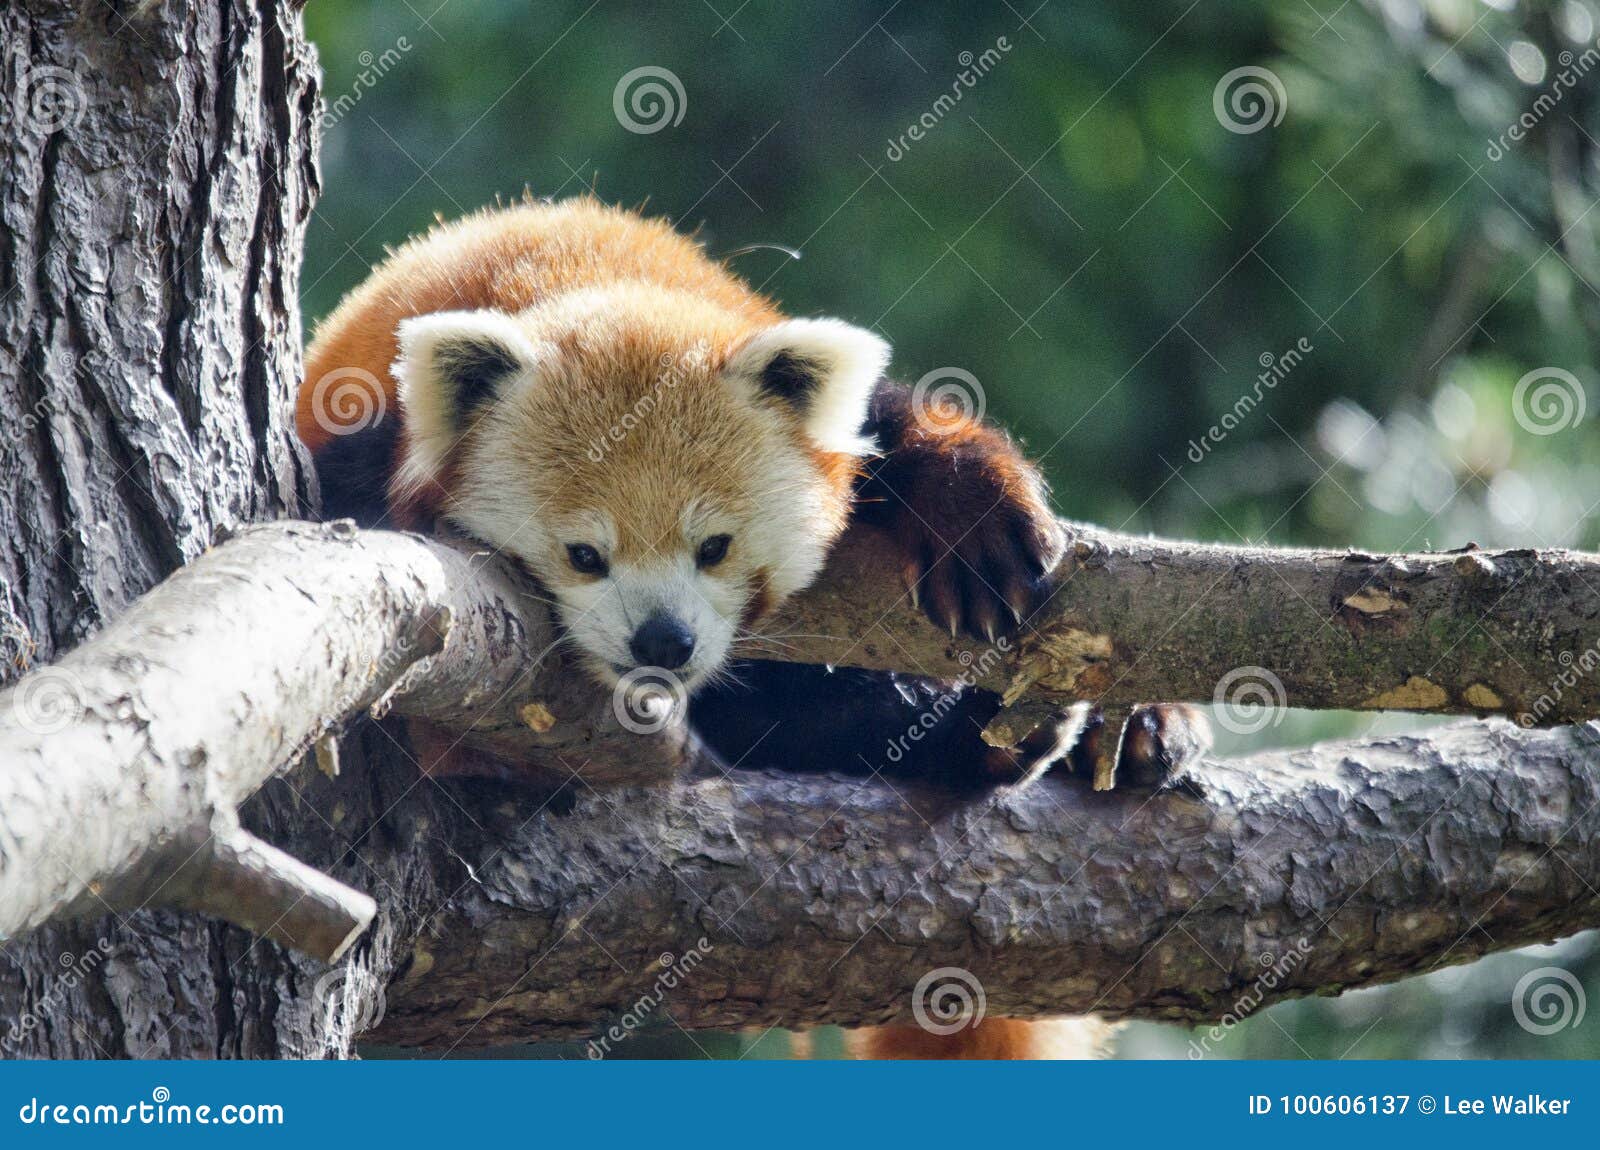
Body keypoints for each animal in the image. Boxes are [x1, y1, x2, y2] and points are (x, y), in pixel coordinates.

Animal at [298, 197, 1207, 1057]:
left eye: (714, 547)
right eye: (585, 556)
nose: (663, 643)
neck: (574, 276)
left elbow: (900, 428)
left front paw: (973, 520)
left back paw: (1133, 730)